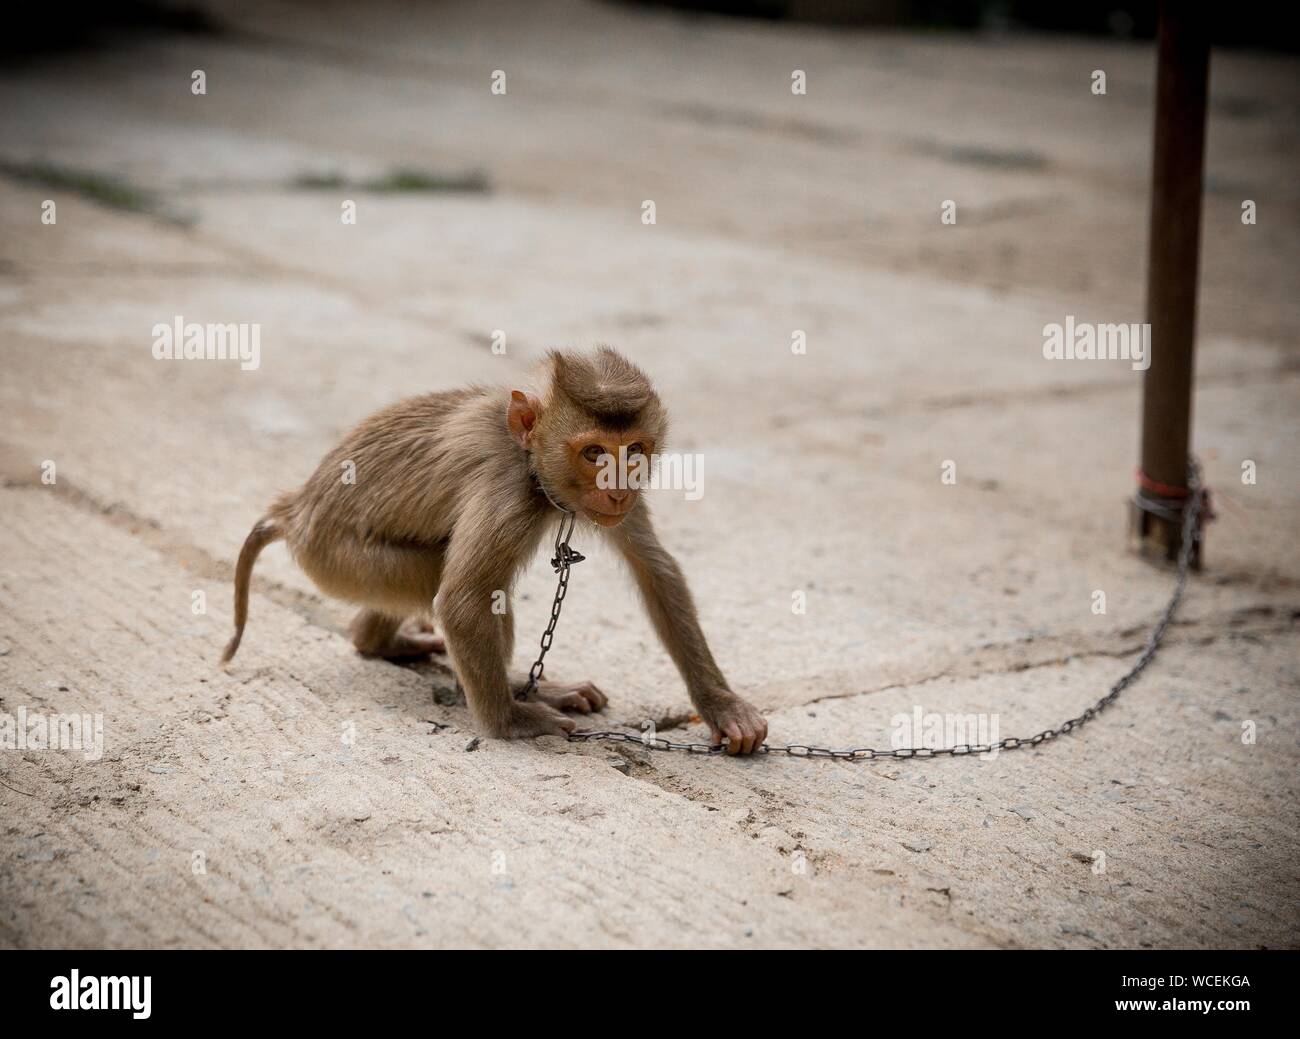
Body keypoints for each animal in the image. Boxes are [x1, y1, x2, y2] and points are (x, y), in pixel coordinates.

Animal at [222, 346, 769, 754]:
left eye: (633, 451)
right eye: (594, 453)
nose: (616, 488)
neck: (533, 465)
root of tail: (295, 510)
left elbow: (656, 571)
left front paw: (722, 707)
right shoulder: (506, 492)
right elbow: (465, 599)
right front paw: (509, 722)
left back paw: (378, 642)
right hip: (343, 561)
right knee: (467, 585)